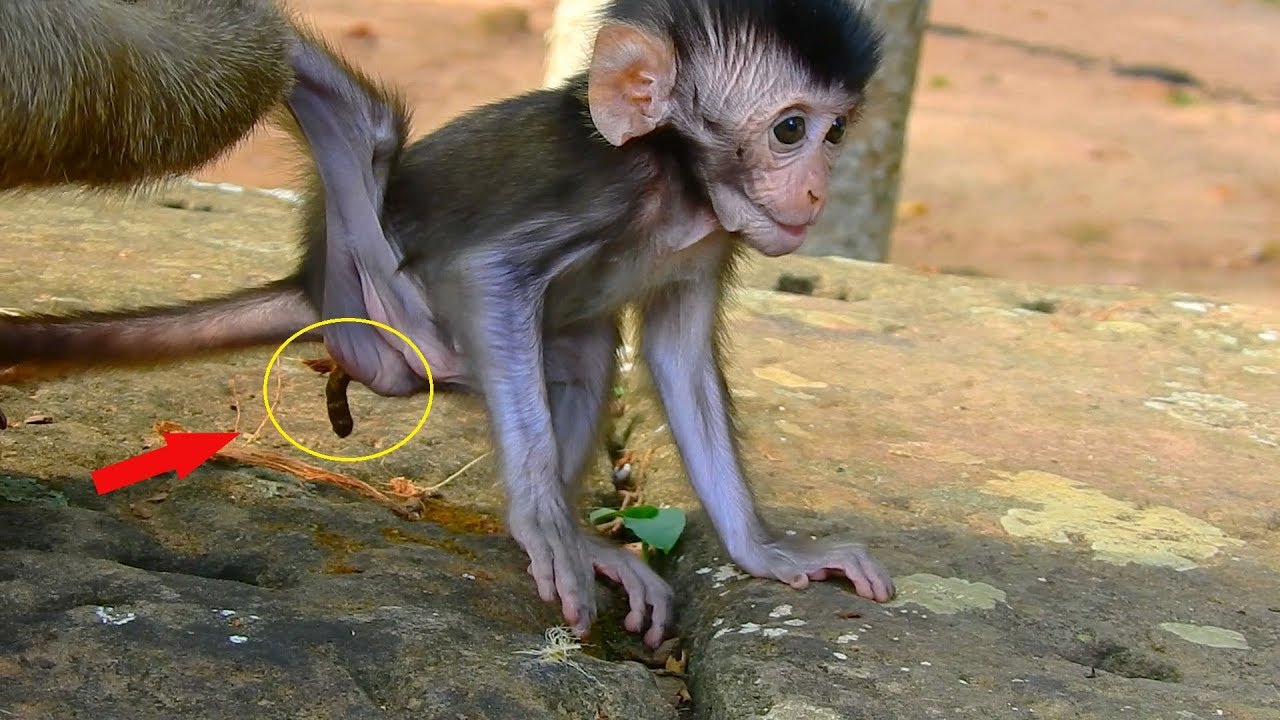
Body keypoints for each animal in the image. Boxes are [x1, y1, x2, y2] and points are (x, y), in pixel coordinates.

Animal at [0, 0, 895, 647]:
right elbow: (486, 271)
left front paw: (765, 552)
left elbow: (678, 360)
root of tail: (310, 284)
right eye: (790, 129)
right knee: (359, 120)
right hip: (385, 307)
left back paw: (592, 541)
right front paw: (541, 523)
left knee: (581, 350)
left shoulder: (709, 240)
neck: (673, 181)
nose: (817, 190)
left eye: (836, 131)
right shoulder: (597, 187)